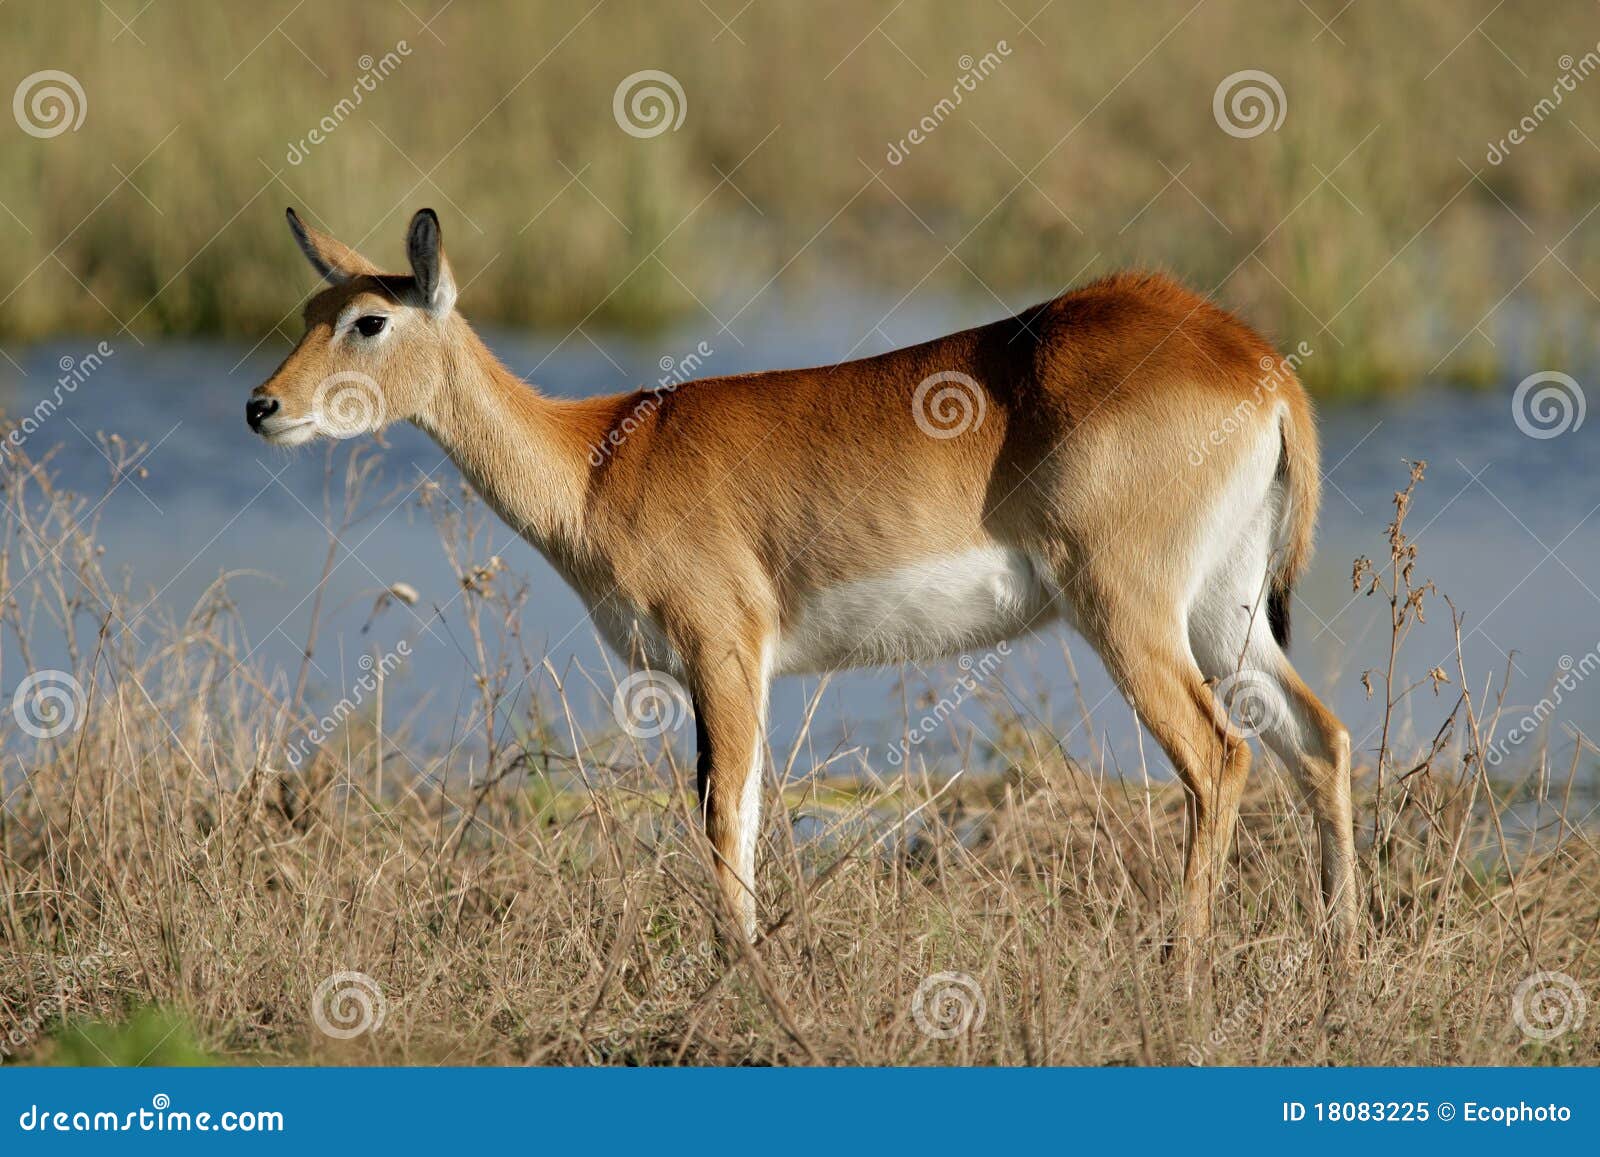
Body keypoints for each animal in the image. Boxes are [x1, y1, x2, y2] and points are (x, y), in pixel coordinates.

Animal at [249, 207, 1357, 960]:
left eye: (367, 321)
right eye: (309, 308)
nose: (263, 406)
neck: (601, 462)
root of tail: (1255, 362)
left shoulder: (722, 651)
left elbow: (722, 816)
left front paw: (741, 975)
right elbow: (738, 810)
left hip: (1129, 612)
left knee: (1219, 755)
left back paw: (1182, 974)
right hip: (1223, 612)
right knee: (1319, 740)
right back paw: (1337, 965)